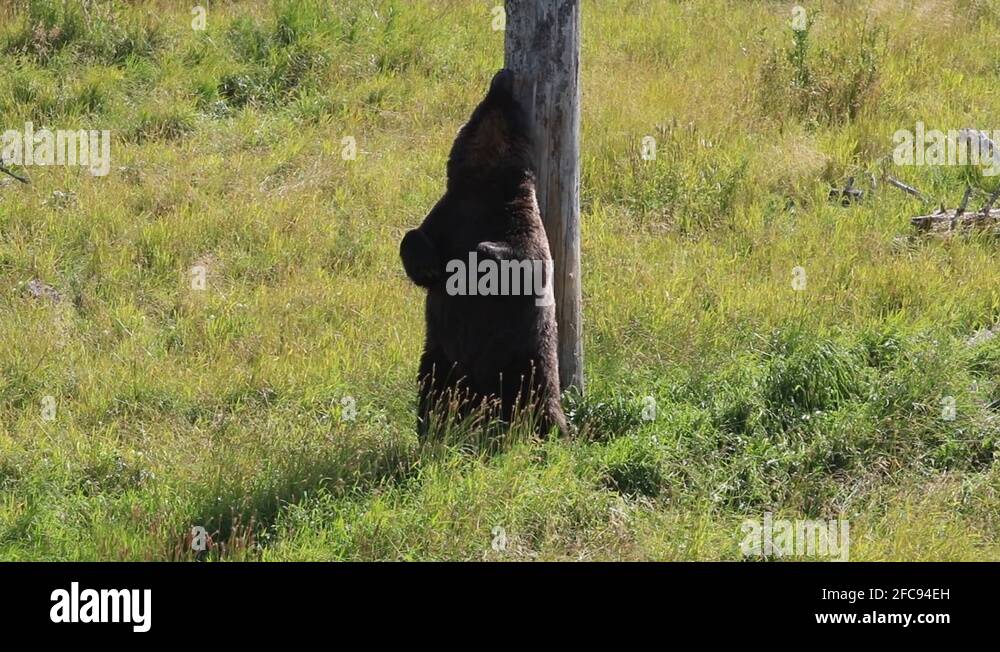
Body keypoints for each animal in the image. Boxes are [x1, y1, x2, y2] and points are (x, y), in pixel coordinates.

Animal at [399, 68, 568, 440]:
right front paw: (428, 265)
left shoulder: (519, 217)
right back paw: (435, 430)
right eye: (483, 101)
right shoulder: (449, 215)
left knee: (540, 400)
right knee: (434, 391)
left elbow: (531, 262)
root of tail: (484, 402)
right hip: (442, 358)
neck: (485, 183)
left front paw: (483, 255)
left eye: (514, 108)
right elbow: (414, 236)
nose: (503, 75)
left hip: (529, 358)